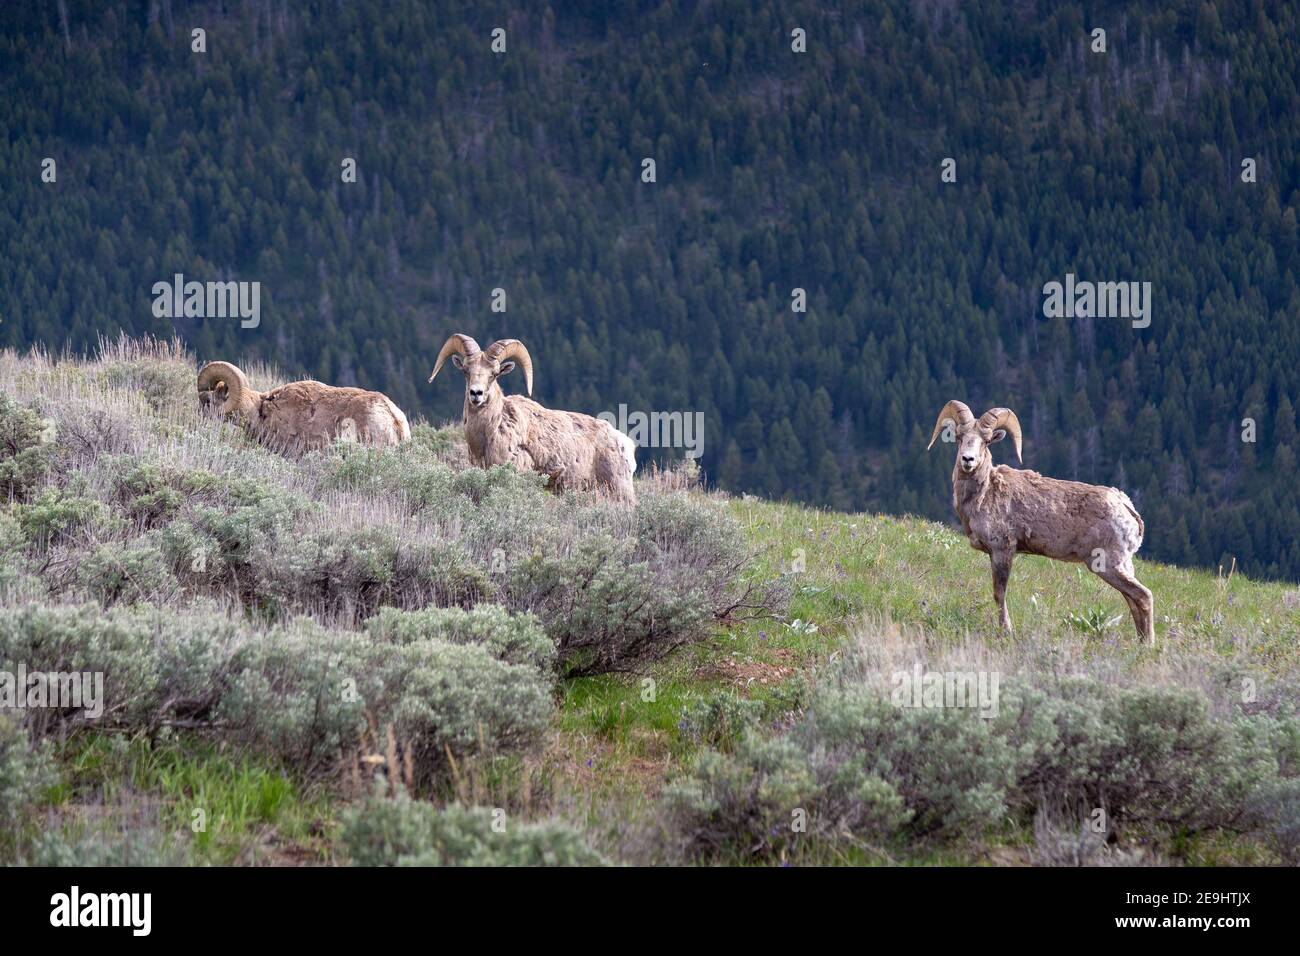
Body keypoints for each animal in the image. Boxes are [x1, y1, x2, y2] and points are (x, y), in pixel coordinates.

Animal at [429, 334, 637, 504]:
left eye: (494, 374)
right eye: (465, 370)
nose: (476, 394)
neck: (489, 433)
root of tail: (624, 443)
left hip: (618, 490)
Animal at [927, 400, 1154, 641]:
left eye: (986, 441)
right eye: (959, 436)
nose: (968, 460)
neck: (984, 494)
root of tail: (1127, 509)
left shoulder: (1003, 551)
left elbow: (999, 594)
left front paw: (1006, 630)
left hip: (1107, 564)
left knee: (1143, 596)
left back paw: (1148, 644)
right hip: (1123, 565)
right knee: (1133, 600)